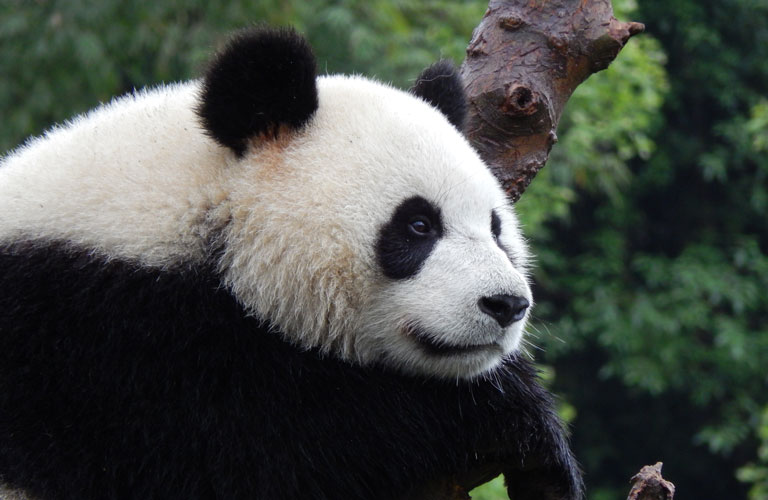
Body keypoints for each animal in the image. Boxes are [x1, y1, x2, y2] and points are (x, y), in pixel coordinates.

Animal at [0, 27, 582, 500]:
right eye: (419, 225)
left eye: (496, 228)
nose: (506, 304)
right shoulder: (96, 347)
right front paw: (513, 417)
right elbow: (250, 450)